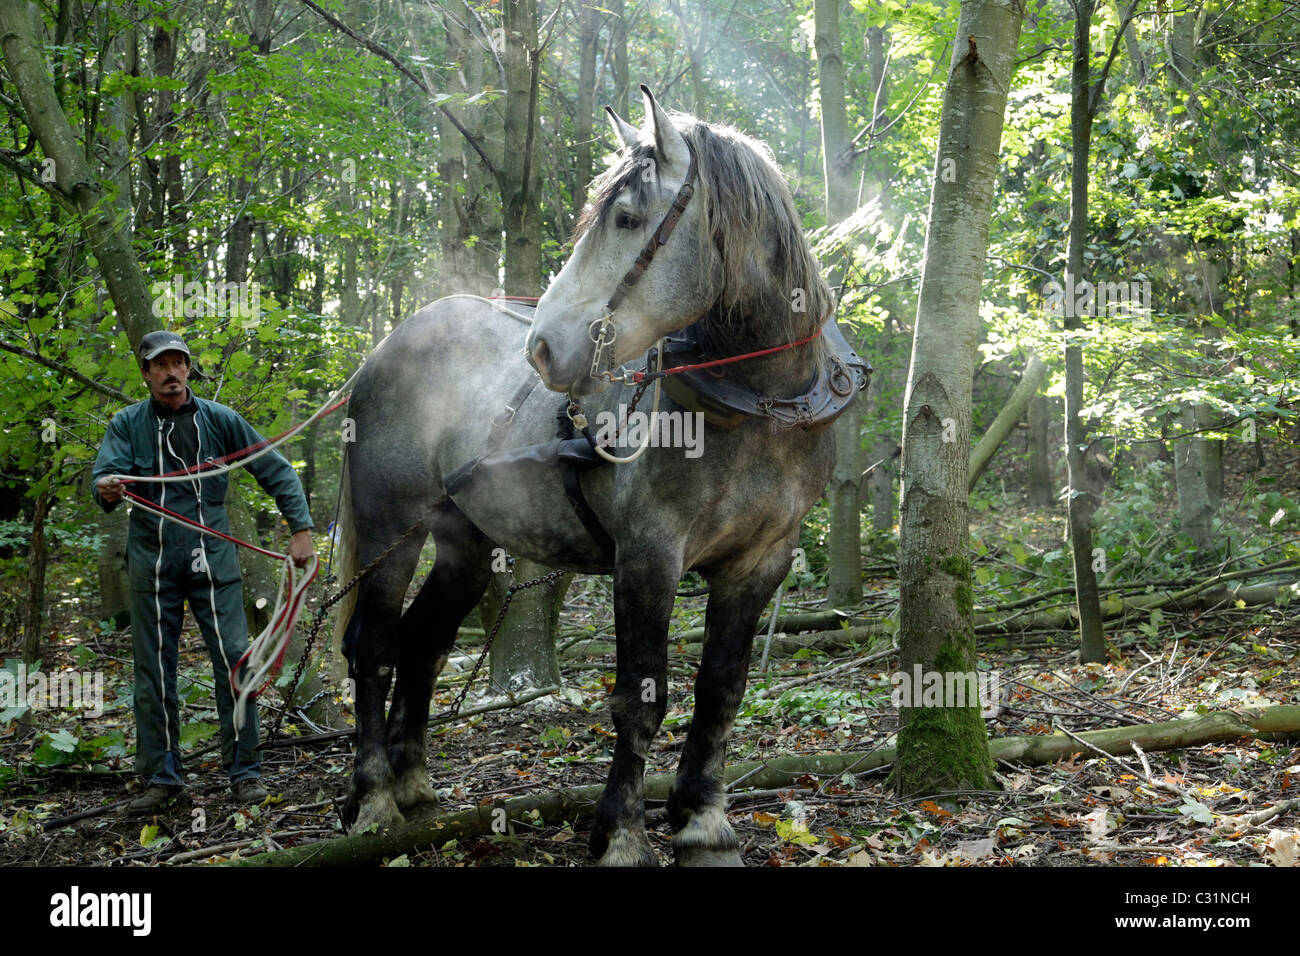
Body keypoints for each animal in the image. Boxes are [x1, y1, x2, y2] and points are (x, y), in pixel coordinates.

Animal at [333, 85, 863, 866]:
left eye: (628, 218)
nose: (543, 348)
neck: (759, 404)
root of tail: (388, 347)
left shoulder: (761, 560)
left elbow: (721, 690)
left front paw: (704, 822)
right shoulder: (648, 554)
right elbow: (642, 697)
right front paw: (623, 834)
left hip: (465, 540)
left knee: (421, 641)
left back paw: (414, 785)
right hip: (389, 526)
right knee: (371, 645)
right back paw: (371, 798)